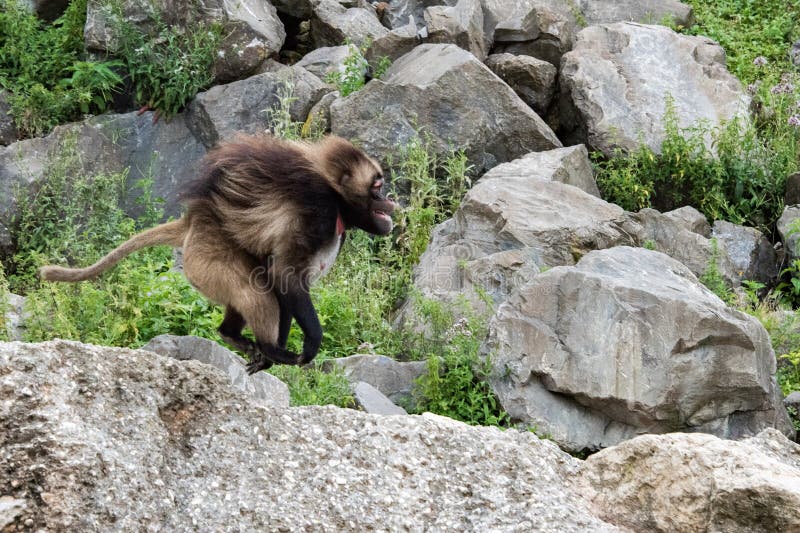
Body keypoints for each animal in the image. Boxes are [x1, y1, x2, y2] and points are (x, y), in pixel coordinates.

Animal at [39, 134, 396, 374]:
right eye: (377, 188)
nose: (391, 201)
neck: (337, 201)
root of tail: (193, 222)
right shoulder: (317, 212)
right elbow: (284, 275)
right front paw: (308, 344)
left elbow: (281, 280)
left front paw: (269, 356)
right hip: (205, 259)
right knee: (256, 289)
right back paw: (269, 348)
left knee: (255, 285)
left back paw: (237, 337)